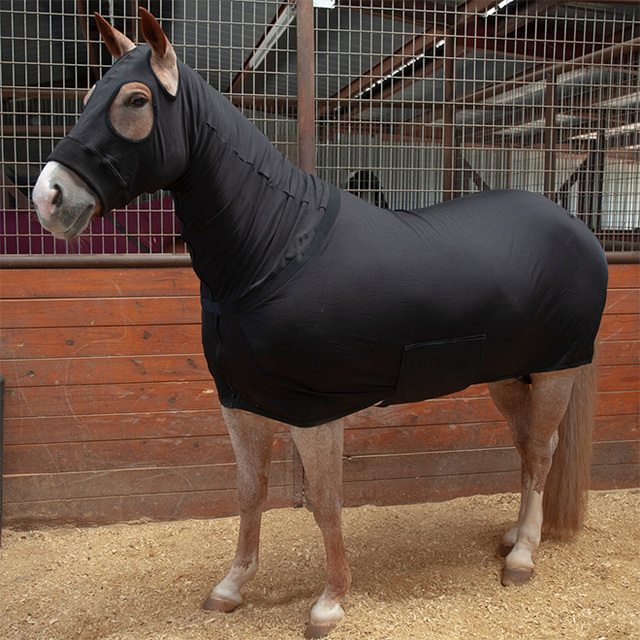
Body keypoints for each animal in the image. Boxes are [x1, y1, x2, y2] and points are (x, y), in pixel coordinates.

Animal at [32, 9, 609, 639]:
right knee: (529, 445)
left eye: (135, 99)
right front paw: (231, 587)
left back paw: (523, 558)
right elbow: (249, 493)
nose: (49, 197)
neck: (273, 254)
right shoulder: (242, 404)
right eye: (90, 94)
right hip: (508, 374)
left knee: (542, 452)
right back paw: (512, 537)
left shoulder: (315, 412)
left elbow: (328, 505)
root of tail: (578, 229)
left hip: (556, 369)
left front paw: (330, 602)